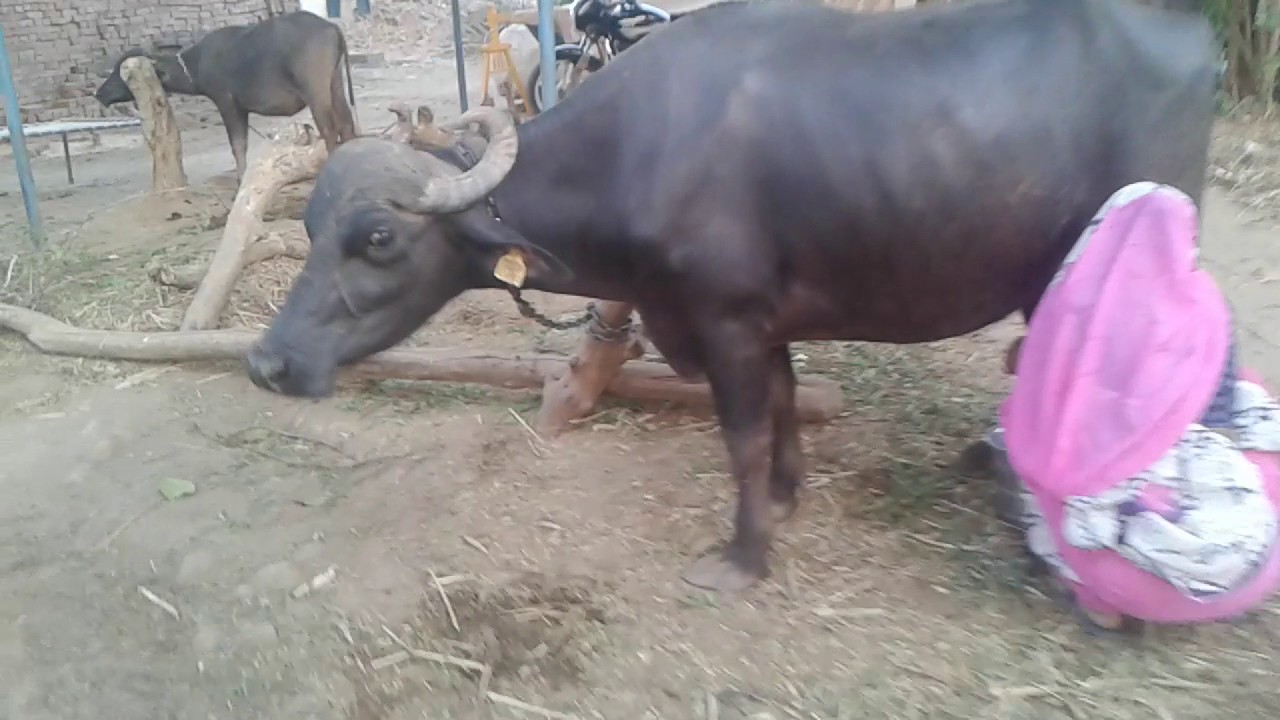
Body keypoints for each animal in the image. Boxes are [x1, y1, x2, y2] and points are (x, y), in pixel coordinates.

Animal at [245, 0, 1218, 592]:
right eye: (309, 229)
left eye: (378, 238)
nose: (268, 362)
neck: (644, 152)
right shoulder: (764, 326)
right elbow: (783, 407)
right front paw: (787, 497)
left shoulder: (726, 320)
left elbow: (742, 436)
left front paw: (744, 555)